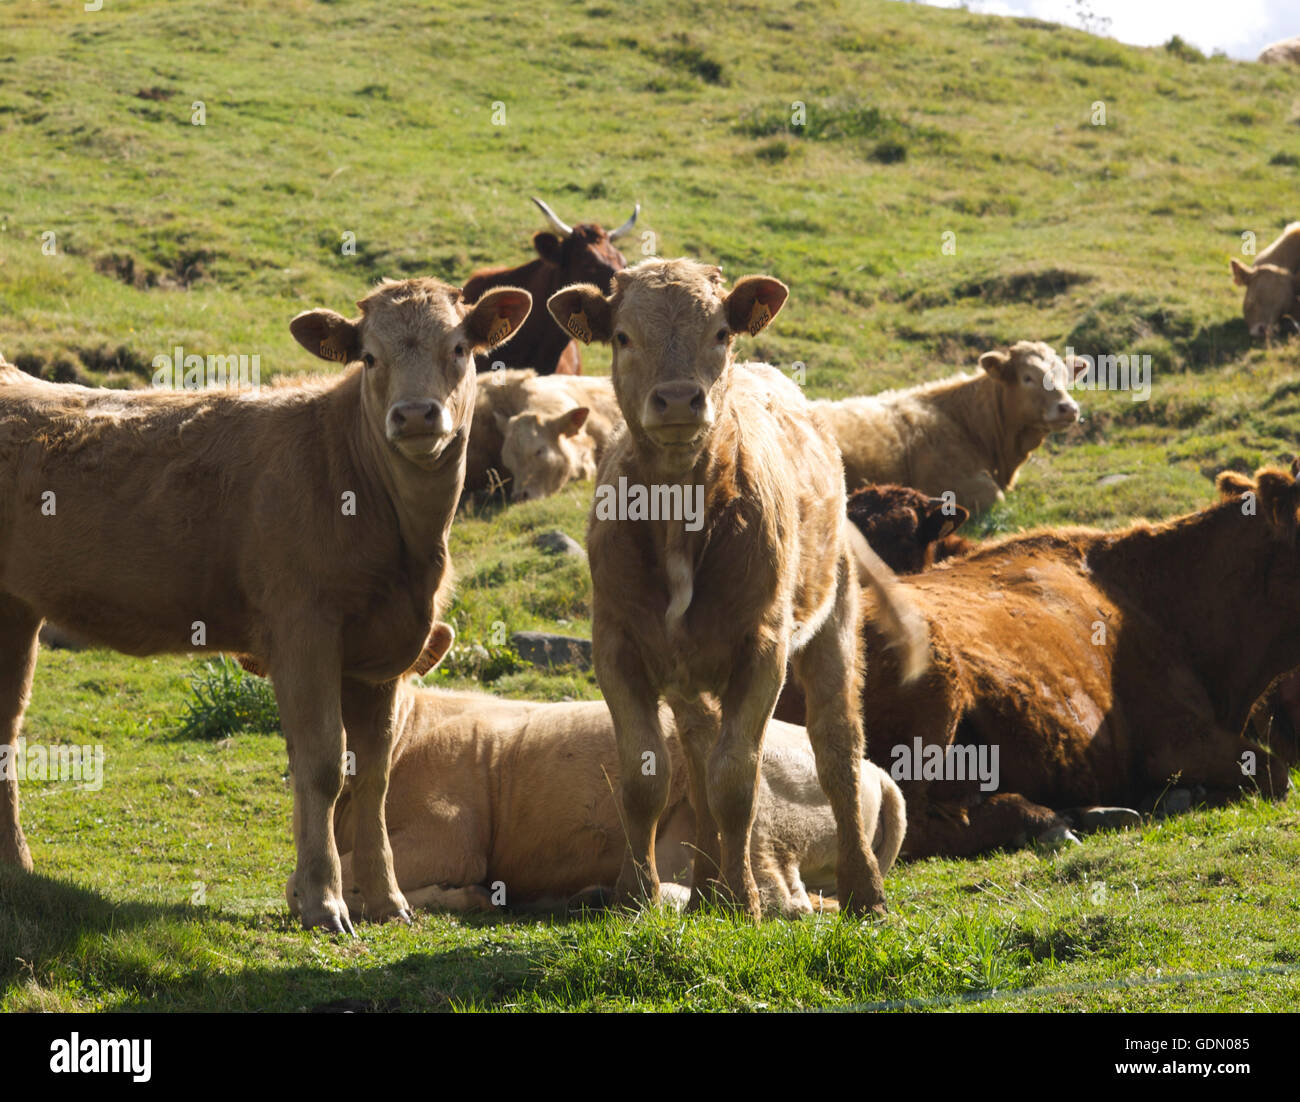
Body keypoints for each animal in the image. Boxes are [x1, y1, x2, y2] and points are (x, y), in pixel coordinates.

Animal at [0, 279, 532, 932]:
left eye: (458, 347)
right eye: (369, 357)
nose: (413, 415)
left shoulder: (380, 656)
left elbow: (373, 774)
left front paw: (387, 902)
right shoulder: (303, 627)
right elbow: (322, 763)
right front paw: (325, 903)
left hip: (14, 607)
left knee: (5, 725)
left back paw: (16, 869)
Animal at [547, 258, 927, 919]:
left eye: (720, 332)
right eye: (622, 336)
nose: (678, 398)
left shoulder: (763, 647)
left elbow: (736, 780)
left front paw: (746, 903)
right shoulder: (617, 645)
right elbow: (646, 778)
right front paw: (636, 895)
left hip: (833, 617)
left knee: (836, 747)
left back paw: (861, 891)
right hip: (688, 674)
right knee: (698, 754)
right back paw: (706, 890)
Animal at [852, 466, 1300, 859]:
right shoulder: (1176, 740)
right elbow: (1275, 773)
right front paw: (1180, 795)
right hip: (934, 698)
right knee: (906, 821)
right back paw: (1043, 822)